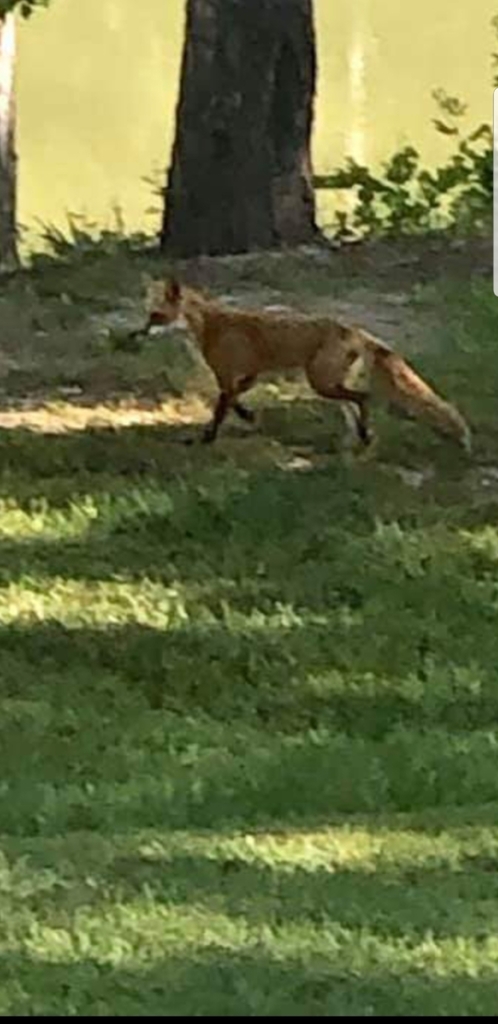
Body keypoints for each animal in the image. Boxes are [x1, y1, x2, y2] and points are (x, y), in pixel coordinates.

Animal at [138, 277, 472, 452]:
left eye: (156, 316)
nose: (136, 335)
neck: (210, 326)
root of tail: (353, 329)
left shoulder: (227, 375)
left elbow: (223, 408)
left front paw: (208, 438)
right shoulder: (249, 374)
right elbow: (234, 401)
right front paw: (248, 417)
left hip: (320, 383)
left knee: (363, 399)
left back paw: (364, 436)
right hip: (329, 385)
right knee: (353, 408)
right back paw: (356, 439)